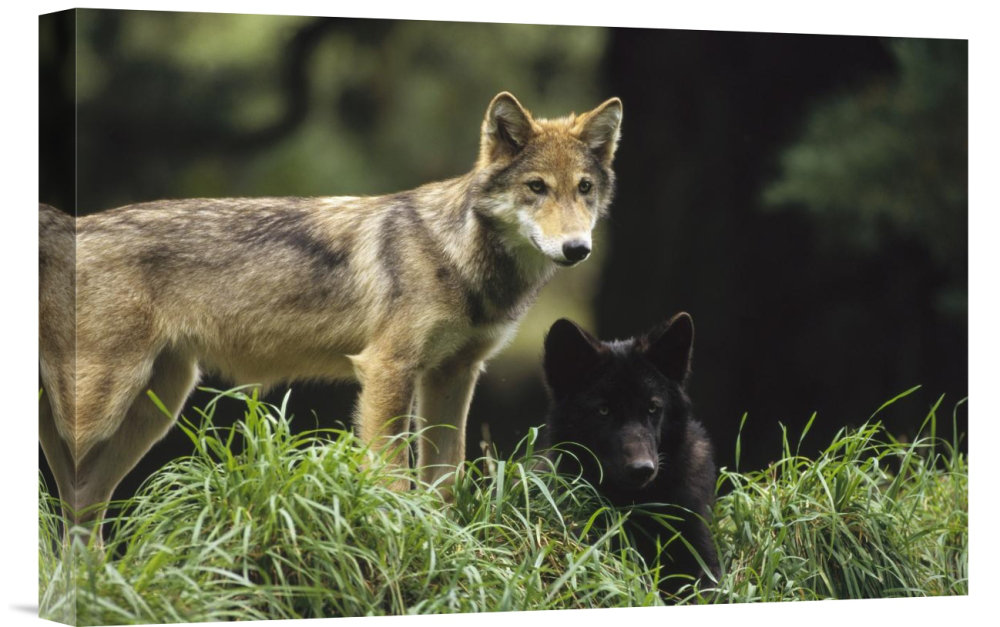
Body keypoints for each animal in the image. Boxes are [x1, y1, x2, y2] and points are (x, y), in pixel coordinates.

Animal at [38, 91, 623, 535]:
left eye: (584, 189)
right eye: (536, 188)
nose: (577, 249)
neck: (456, 252)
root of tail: (66, 226)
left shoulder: (453, 376)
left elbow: (446, 479)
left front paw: (445, 545)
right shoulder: (387, 370)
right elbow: (394, 478)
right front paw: (402, 538)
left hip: (154, 408)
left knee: (81, 506)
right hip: (97, 410)